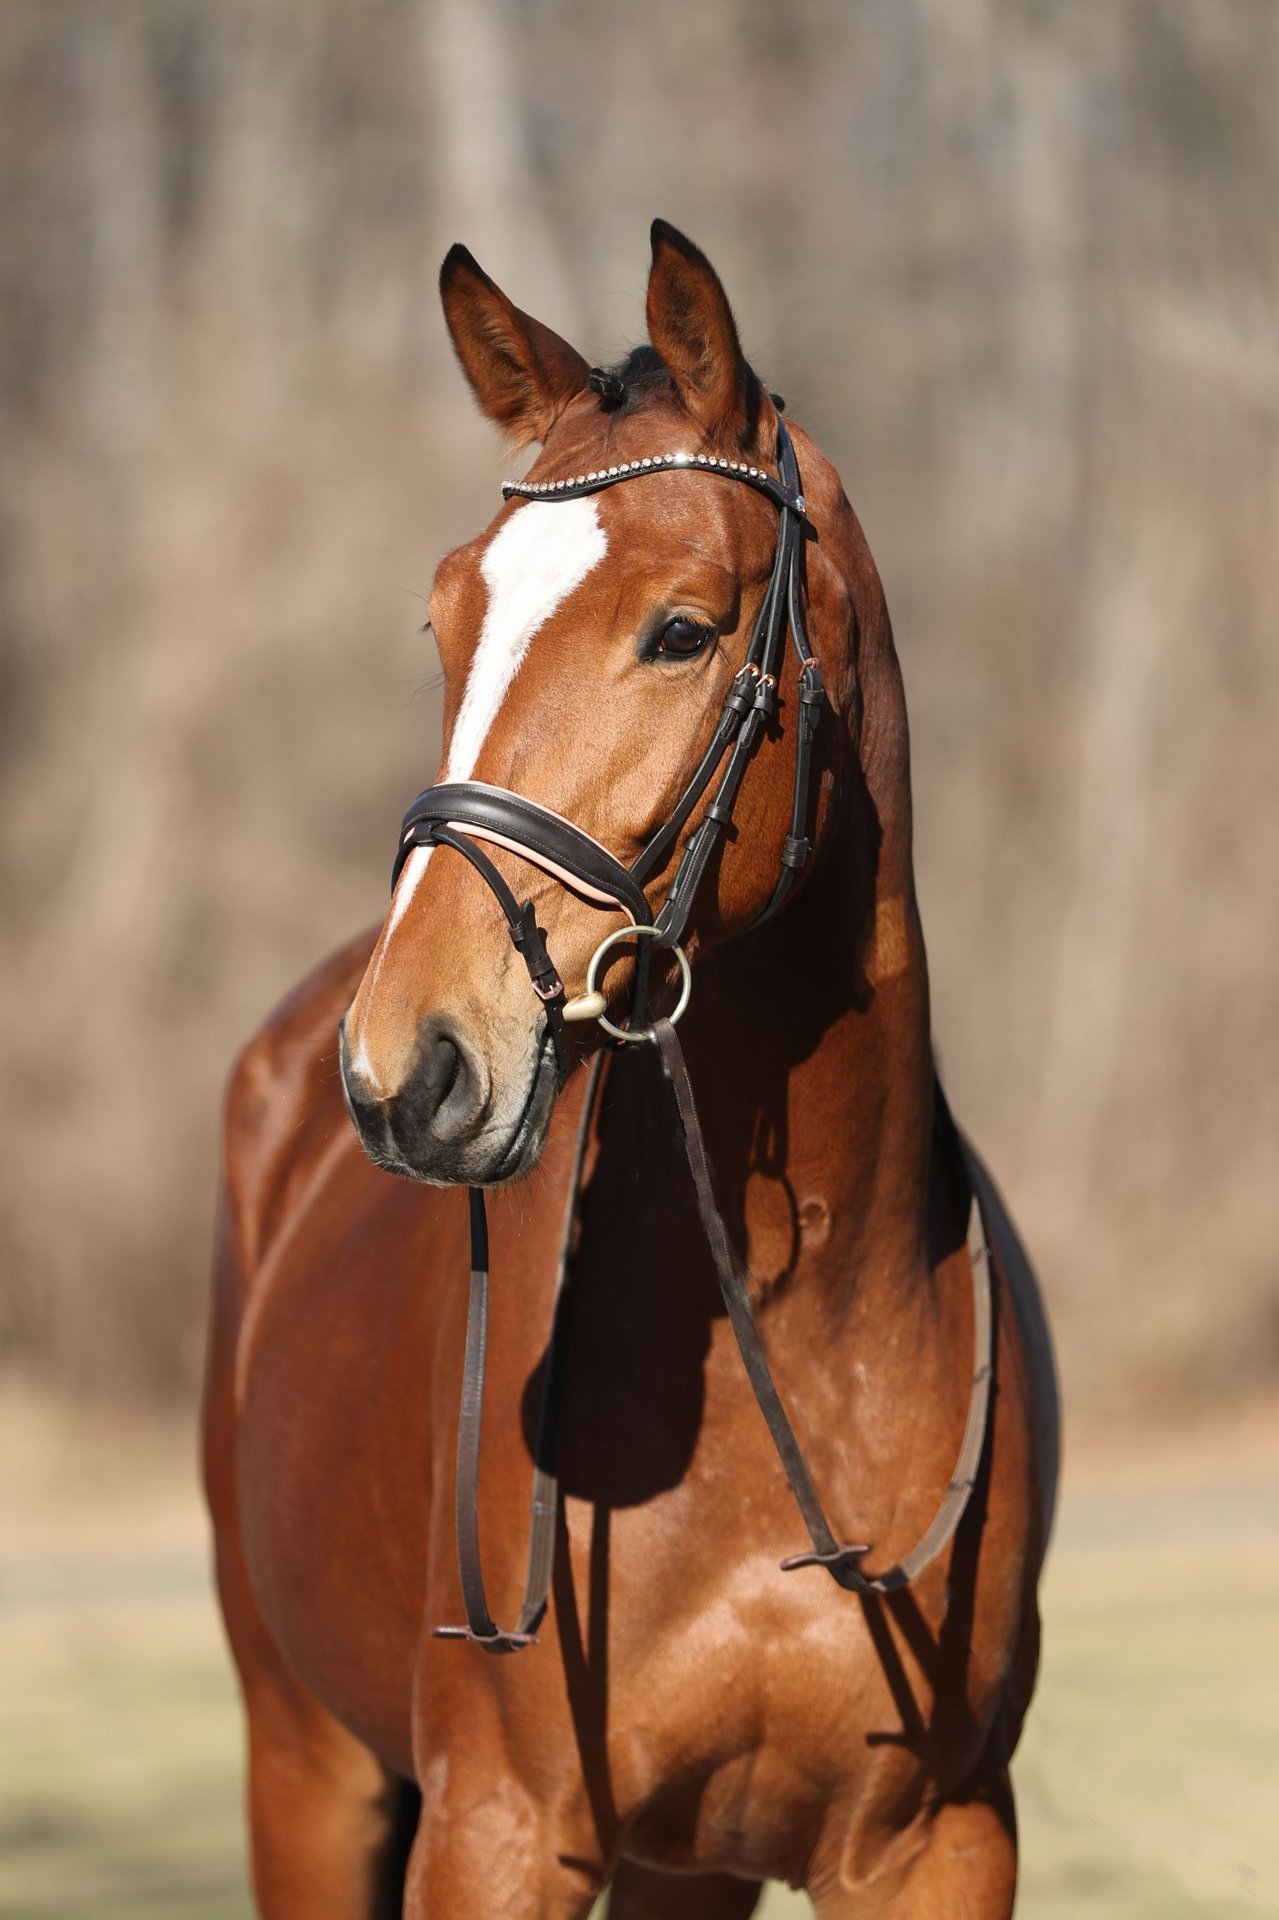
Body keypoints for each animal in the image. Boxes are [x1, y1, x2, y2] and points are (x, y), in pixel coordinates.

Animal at [203, 219, 1059, 1920]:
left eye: (681, 628)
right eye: (445, 623)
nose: (404, 1070)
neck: (800, 1340)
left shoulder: (936, 1844)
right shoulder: (494, 1834)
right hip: (304, 1773)